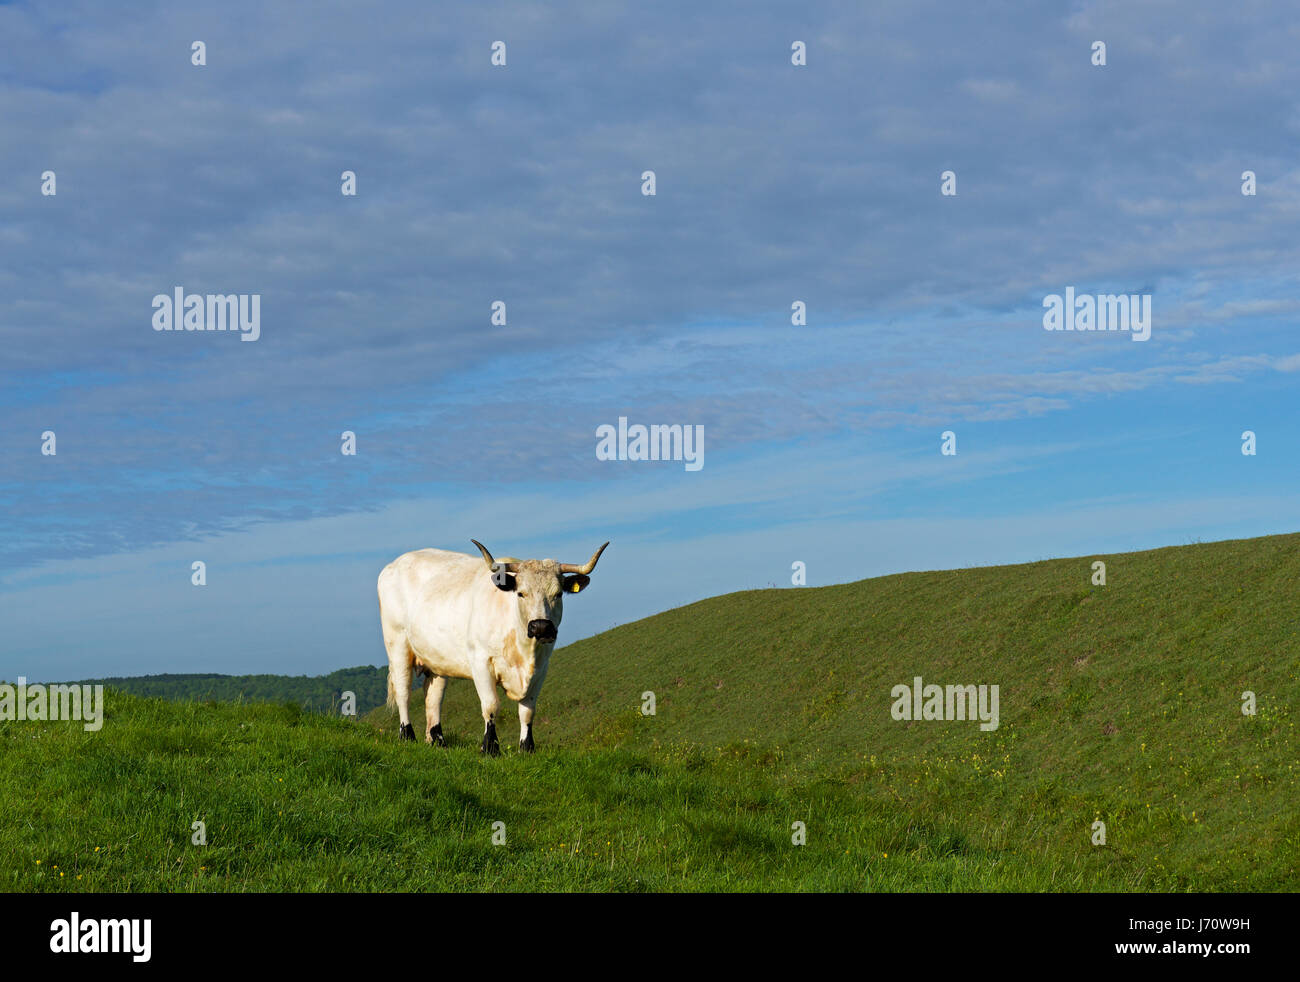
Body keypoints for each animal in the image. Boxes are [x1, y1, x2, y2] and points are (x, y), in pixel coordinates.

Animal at [377, 539, 609, 755]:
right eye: (521, 593)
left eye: (558, 594)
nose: (541, 627)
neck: (524, 652)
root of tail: (395, 564)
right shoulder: (480, 661)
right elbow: (491, 705)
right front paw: (489, 747)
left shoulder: (542, 667)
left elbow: (528, 710)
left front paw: (527, 747)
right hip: (397, 644)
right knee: (403, 691)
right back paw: (407, 735)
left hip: (437, 660)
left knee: (433, 697)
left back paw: (437, 740)